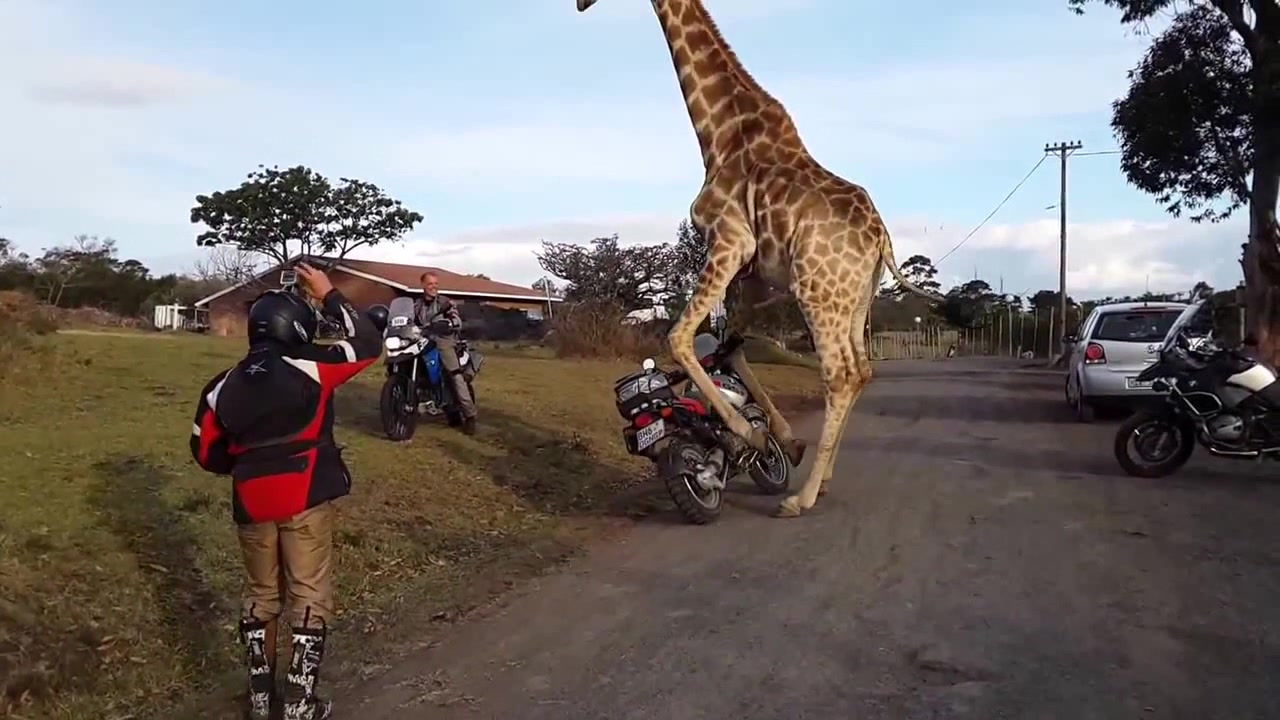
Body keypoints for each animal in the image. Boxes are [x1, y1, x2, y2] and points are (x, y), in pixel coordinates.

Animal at [575, 0, 942, 517]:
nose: (579, 5)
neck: (719, 132)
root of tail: (881, 240)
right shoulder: (754, 273)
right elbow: (729, 348)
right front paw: (780, 440)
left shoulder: (730, 242)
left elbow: (681, 338)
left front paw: (746, 435)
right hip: (854, 299)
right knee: (862, 370)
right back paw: (822, 478)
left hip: (816, 291)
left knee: (839, 374)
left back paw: (801, 497)